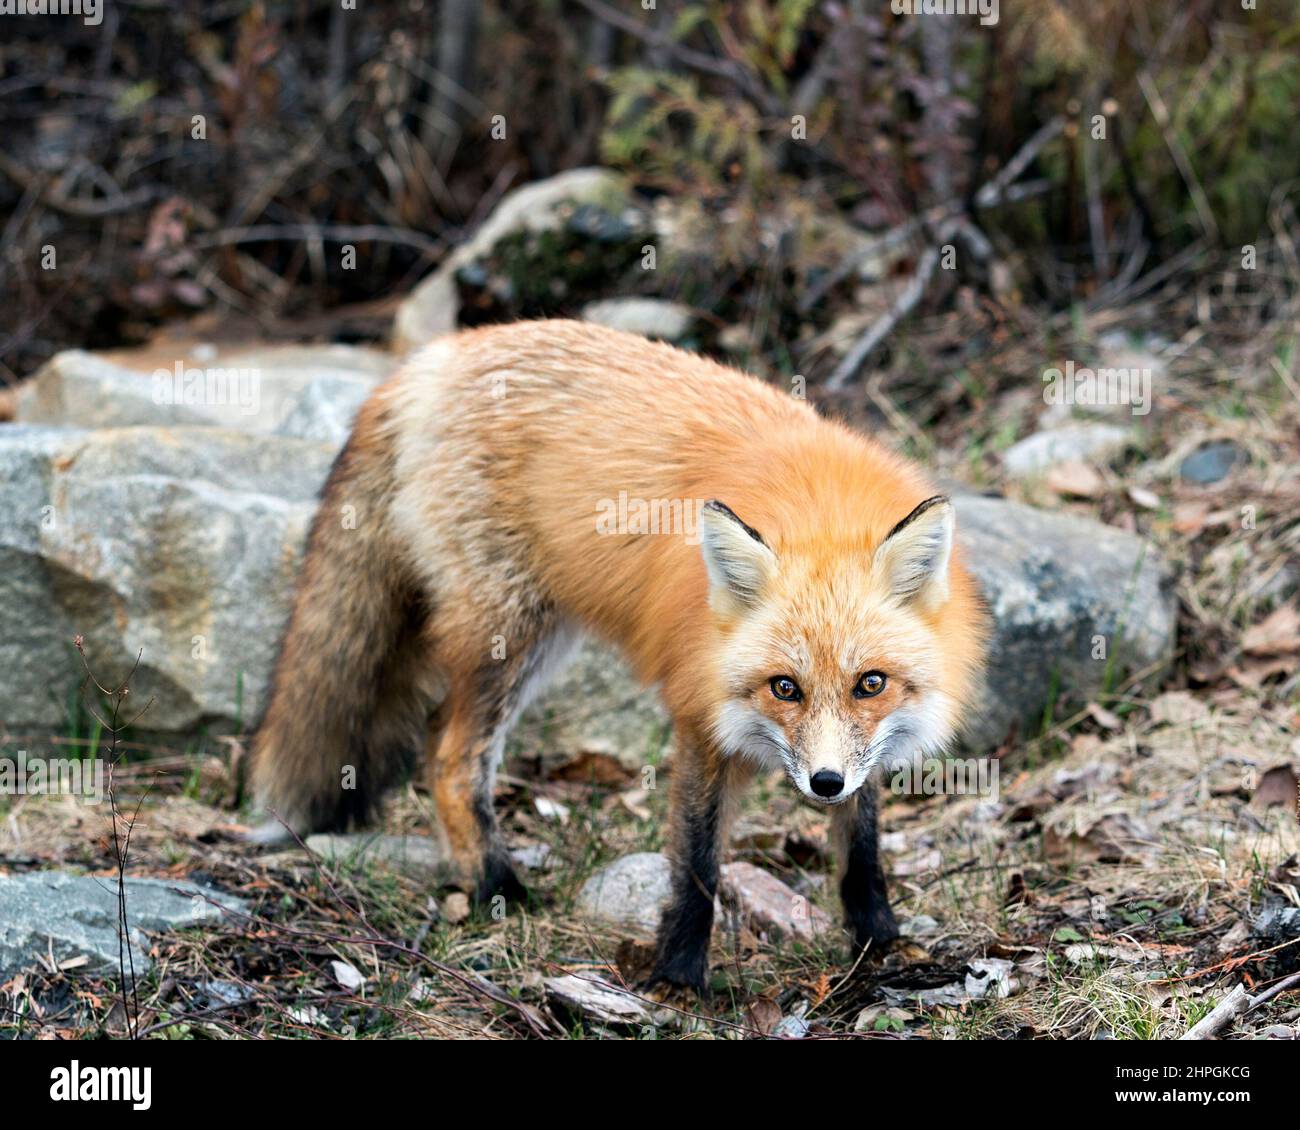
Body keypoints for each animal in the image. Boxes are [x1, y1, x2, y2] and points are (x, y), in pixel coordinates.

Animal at [249, 319, 987, 993]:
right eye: (785, 687)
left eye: (871, 683)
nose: (823, 784)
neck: (821, 508)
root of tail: (426, 362)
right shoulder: (698, 714)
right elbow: (698, 863)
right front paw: (680, 973)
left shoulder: (862, 752)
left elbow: (860, 850)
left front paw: (880, 943)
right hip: (510, 634)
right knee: (450, 755)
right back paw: (495, 884)